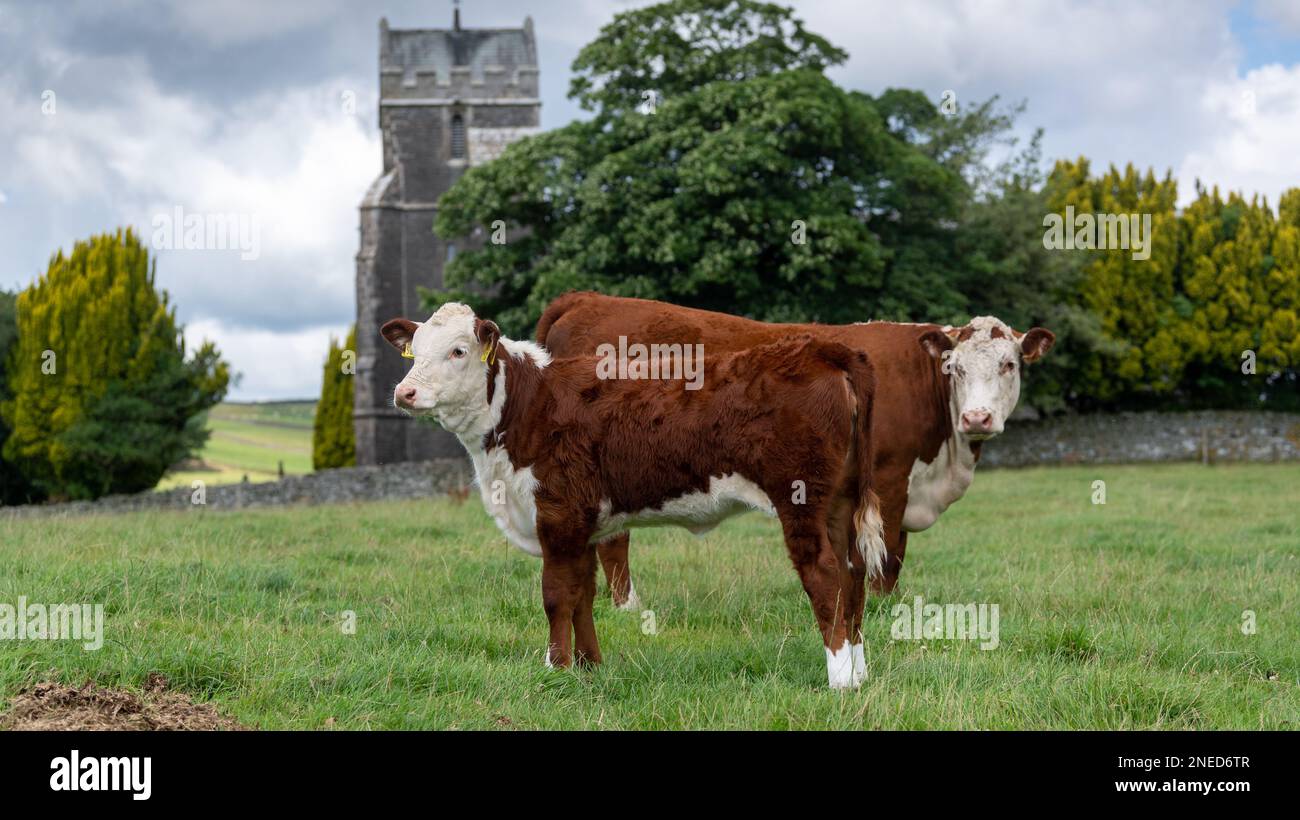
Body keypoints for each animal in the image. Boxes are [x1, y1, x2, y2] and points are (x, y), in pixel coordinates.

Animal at [381, 302, 886, 688]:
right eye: (414, 351)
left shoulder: (557, 514)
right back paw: (860, 673)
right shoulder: (582, 522)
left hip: (801, 500)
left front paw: (554, 669)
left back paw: (840, 679)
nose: (404, 392)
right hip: (840, 502)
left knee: (824, 574)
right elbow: (583, 594)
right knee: (853, 574)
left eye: (458, 350)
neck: (527, 405)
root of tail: (822, 349)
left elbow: (556, 595)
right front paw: (588, 667)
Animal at [536, 292, 1056, 612]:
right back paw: (629, 606)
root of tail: (587, 299)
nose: (977, 419)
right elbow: (886, 556)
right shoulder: (889, 479)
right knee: (614, 540)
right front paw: (882, 608)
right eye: (955, 367)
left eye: (1009, 365)